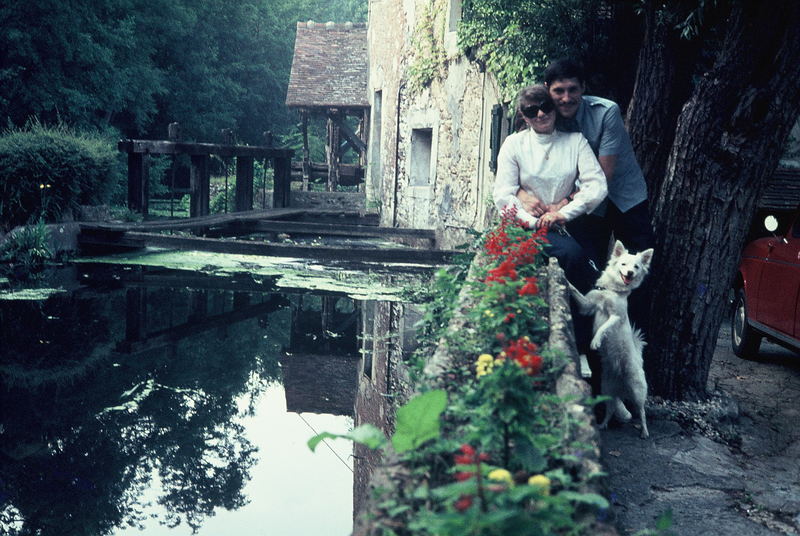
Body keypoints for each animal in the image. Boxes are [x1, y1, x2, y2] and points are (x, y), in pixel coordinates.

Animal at [568, 241, 648, 438]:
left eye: (636, 267)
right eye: (623, 264)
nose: (630, 273)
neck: (612, 291)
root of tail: (621, 385)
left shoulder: (616, 317)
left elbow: (603, 328)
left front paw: (596, 341)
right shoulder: (587, 305)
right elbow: (574, 289)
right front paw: (564, 278)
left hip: (637, 390)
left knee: (641, 411)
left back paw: (644, 431)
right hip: (606, 388)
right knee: (610, 409)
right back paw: (603, 424)